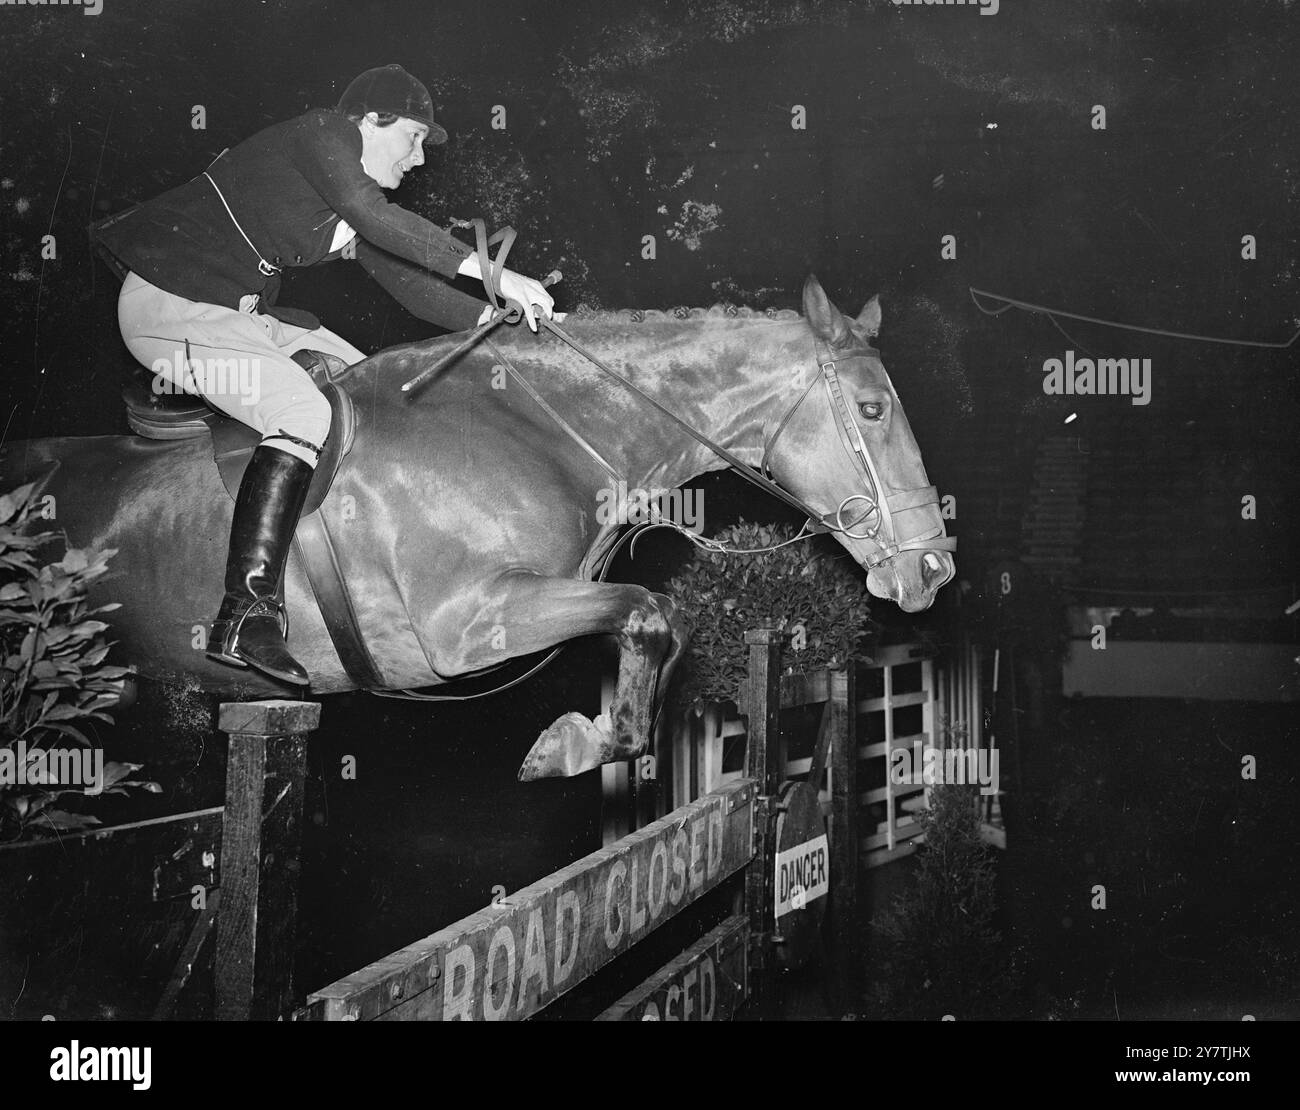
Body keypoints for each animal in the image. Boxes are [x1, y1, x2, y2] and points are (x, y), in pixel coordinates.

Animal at [0, 276, 955, 779]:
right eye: (872, 410)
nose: (933, 569)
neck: (541, 427)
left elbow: (653, 628)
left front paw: (594, 739)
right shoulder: (465, 623)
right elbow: (653, 612)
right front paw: (570, 745)